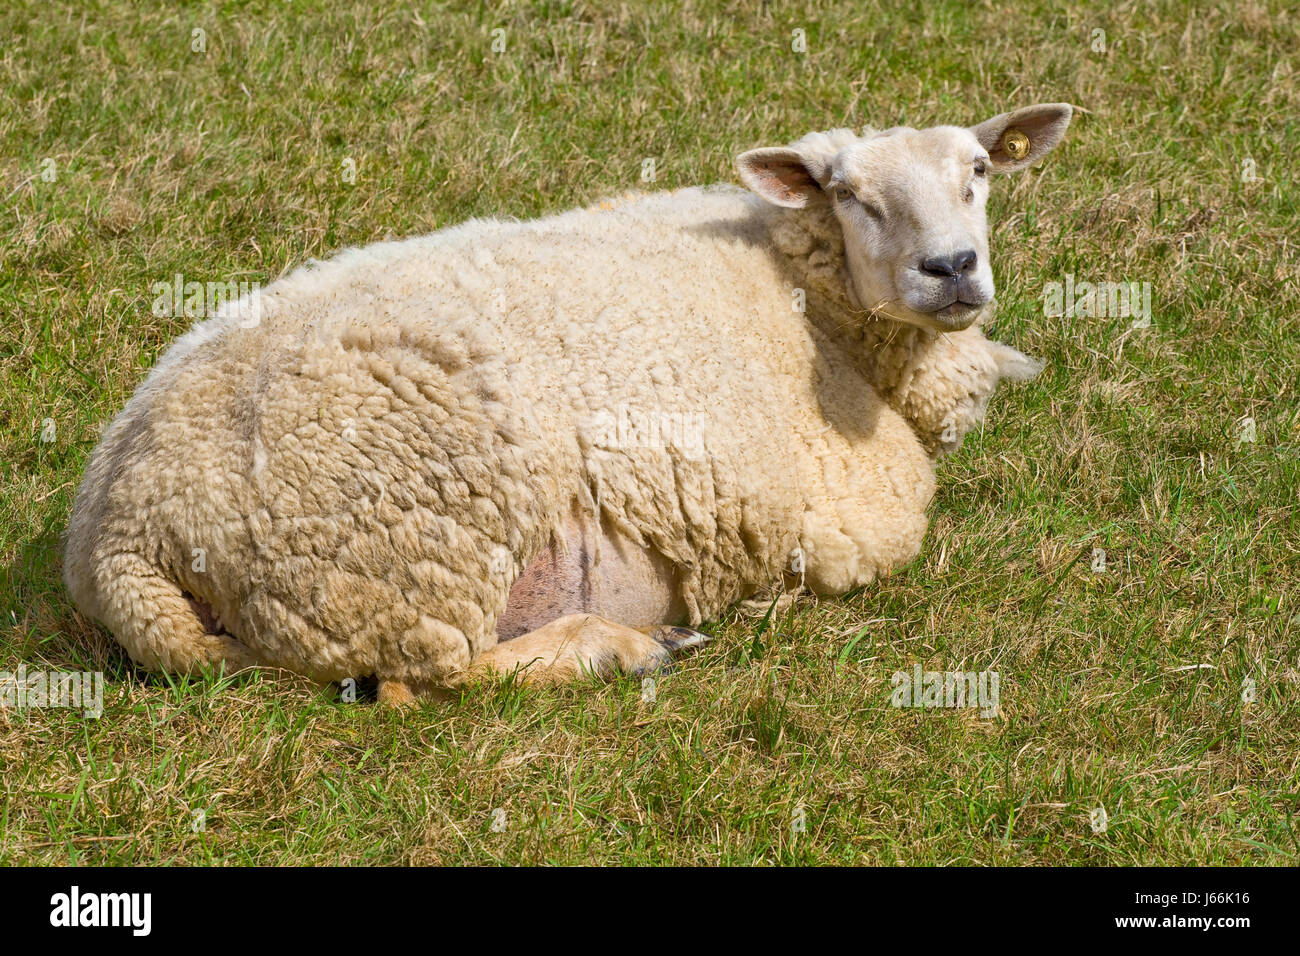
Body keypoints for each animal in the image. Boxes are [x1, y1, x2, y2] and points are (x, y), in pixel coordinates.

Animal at [64, 103, 1072, 702]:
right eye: (849, 194)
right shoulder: (854, 511)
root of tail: (121, 537)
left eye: (980, 170)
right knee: (428, 681)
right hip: (412, 554)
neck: (801, 286)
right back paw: (624, 648)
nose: (952, 267)